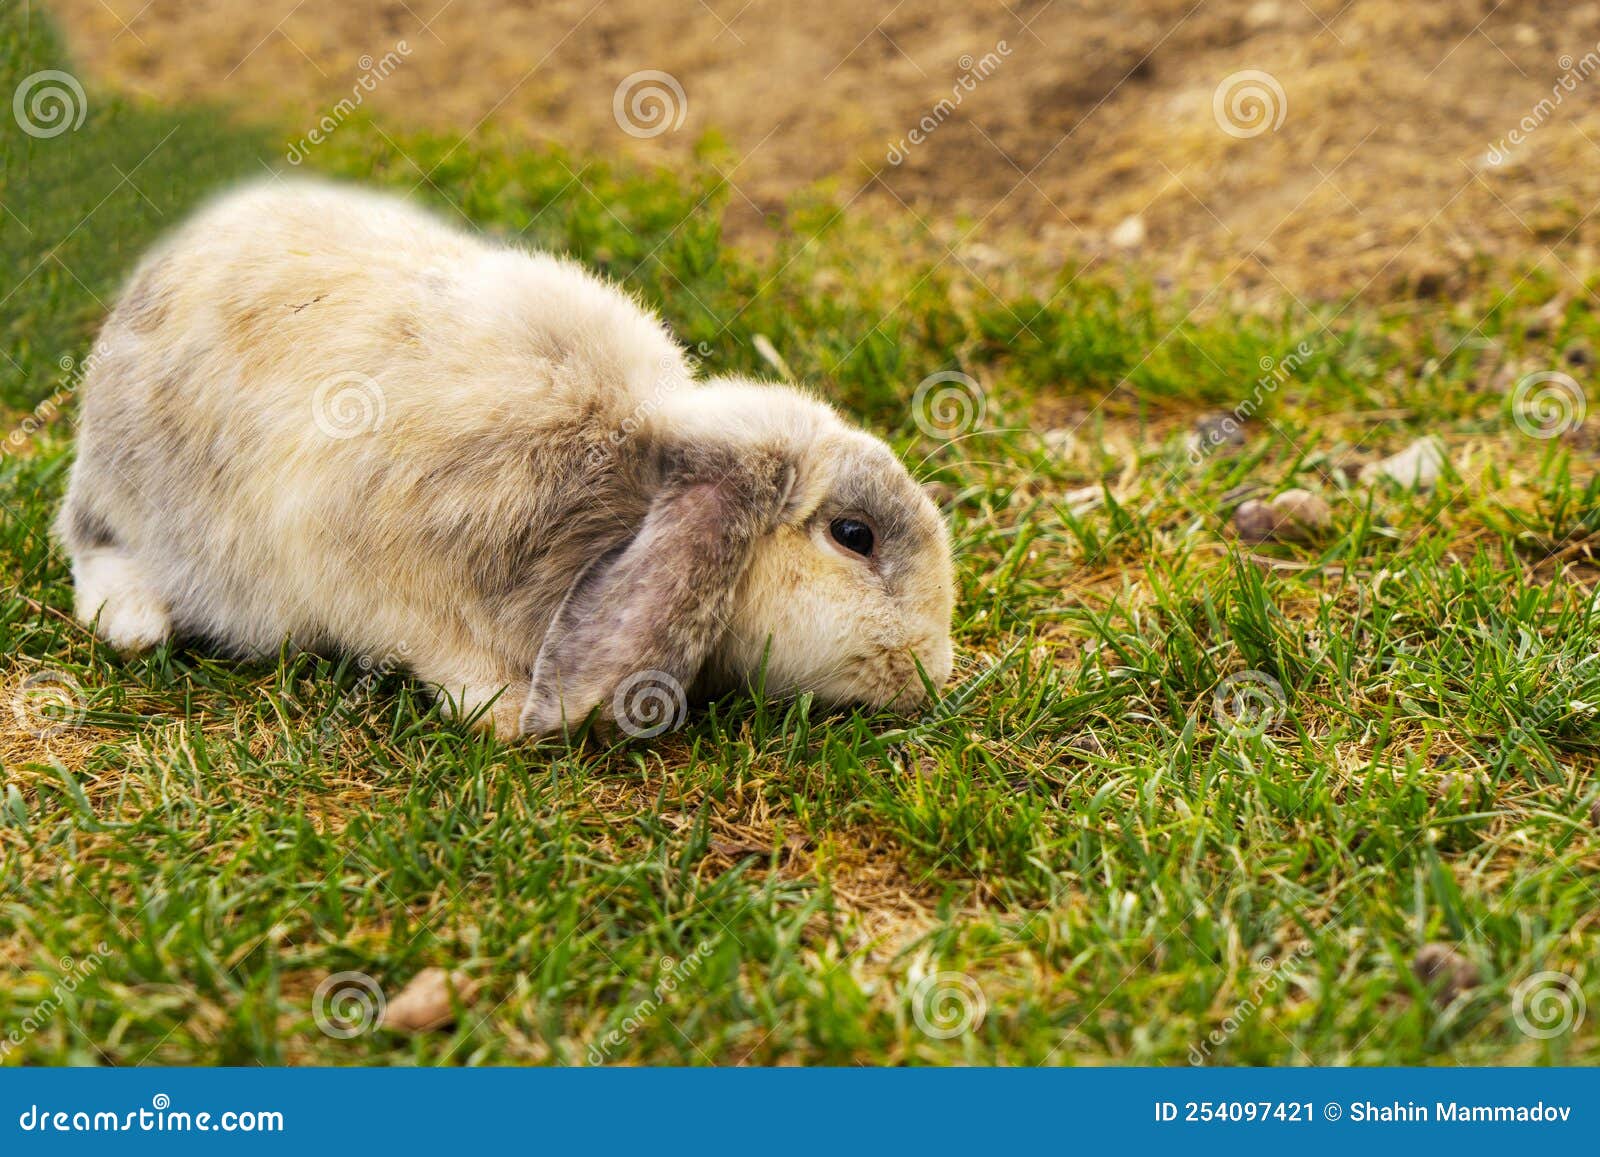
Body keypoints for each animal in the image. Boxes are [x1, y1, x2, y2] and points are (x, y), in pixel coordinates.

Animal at [55, 177, 955, 739]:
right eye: (854, 535)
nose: (932, 674)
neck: (629, 492)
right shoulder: (396, 585)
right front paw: (508, 713)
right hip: (142, 501)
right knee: (93, 547)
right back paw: (136, 624)